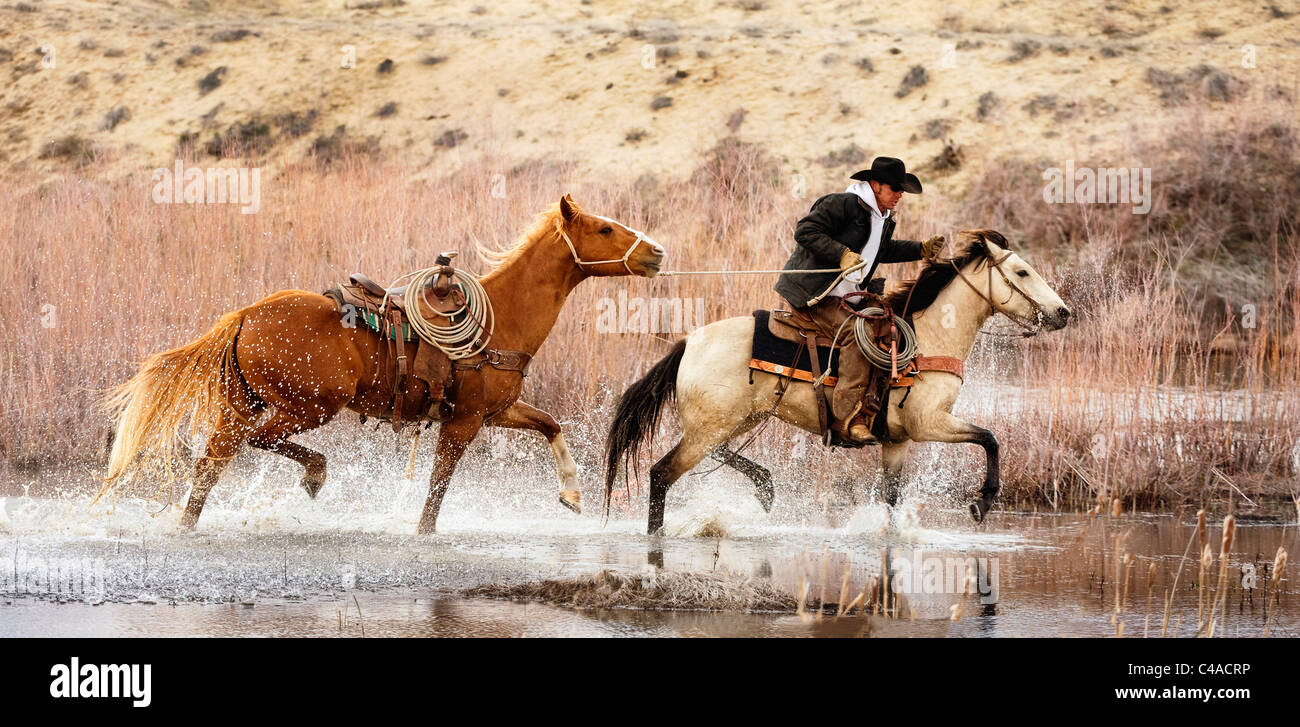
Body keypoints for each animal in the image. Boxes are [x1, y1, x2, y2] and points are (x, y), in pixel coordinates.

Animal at [102, 194, 665, 534]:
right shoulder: (463, 422)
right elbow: (438, 487)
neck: (499, 318)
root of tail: (246, 315)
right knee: (255, 444)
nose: (657, 253)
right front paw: (424, 533)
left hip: (246, 403)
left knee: (211, 463)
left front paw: (572, 492)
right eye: (604, 229)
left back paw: (188, 524)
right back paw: (314, 475)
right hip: (308, 407)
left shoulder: (496, 411)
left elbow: (549, 423)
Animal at [604, 230, 1070, 534]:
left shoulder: (898, 440)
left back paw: (766, 488)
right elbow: (990, 438)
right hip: (710, 427)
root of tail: (689, 341)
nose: (1063, 312)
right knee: (662, 474)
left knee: (720, 453)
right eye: (1023, 272)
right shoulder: (928, 423)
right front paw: (982, 503)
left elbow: (891, 498)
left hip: (736, 419)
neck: (928, 337)